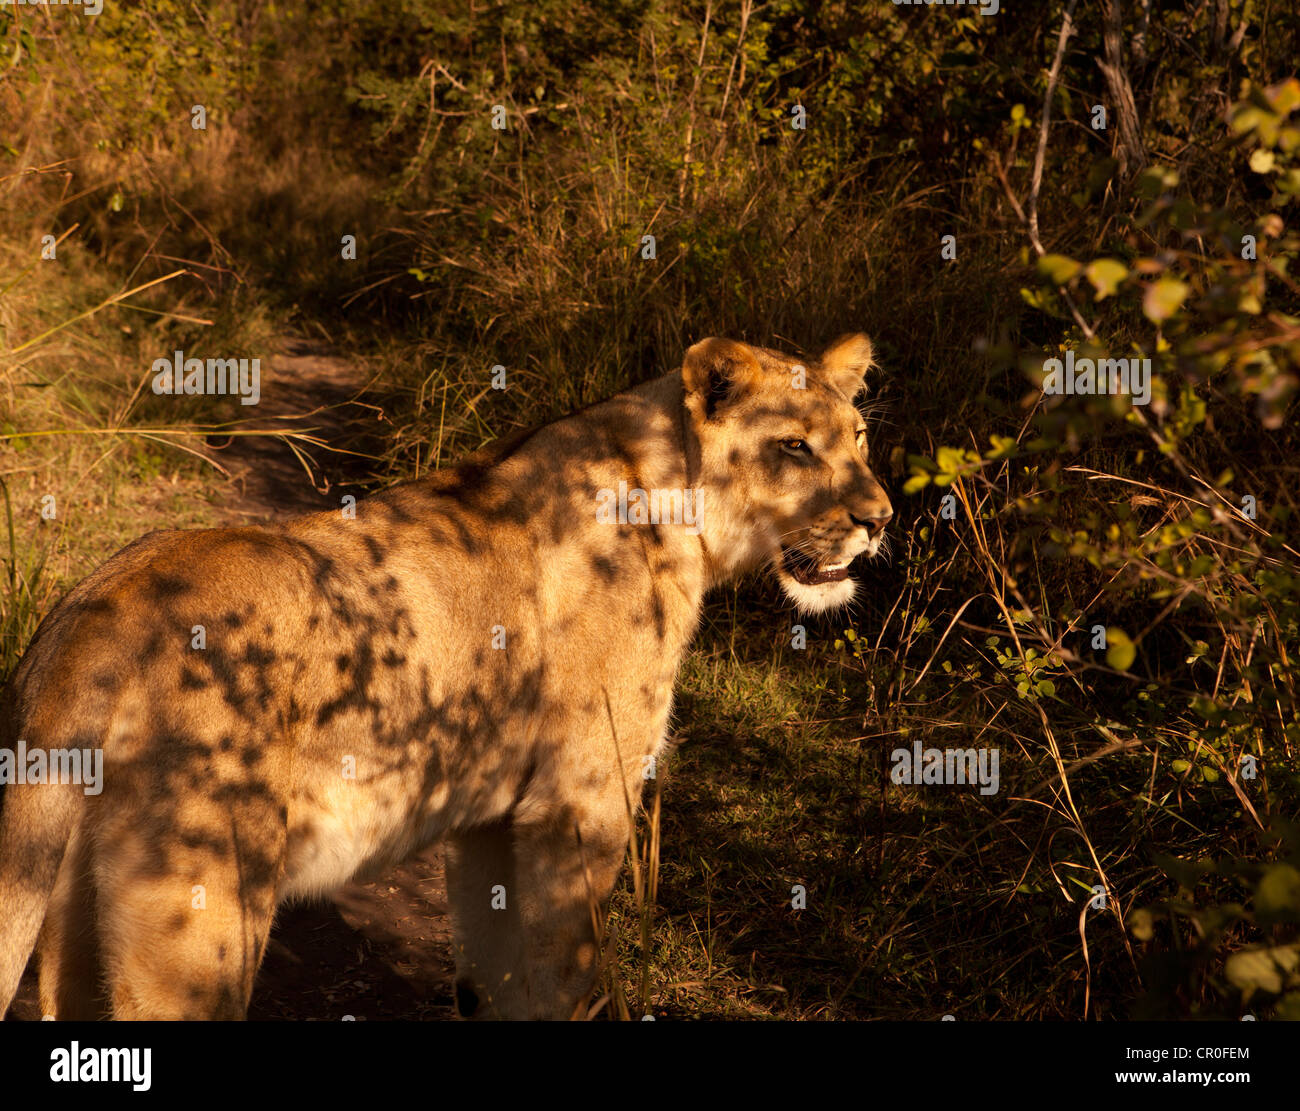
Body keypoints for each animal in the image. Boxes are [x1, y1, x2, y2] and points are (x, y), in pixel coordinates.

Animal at [0, 334, 892, 1020]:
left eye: (859, 436)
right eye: (795, 446)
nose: (879, 519)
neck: (679, 505)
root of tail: (103, 604)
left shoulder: (490, 821)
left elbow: (497, 978)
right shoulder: (582, 800)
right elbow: (567, 979)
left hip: (72, 917)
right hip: (204, 914)